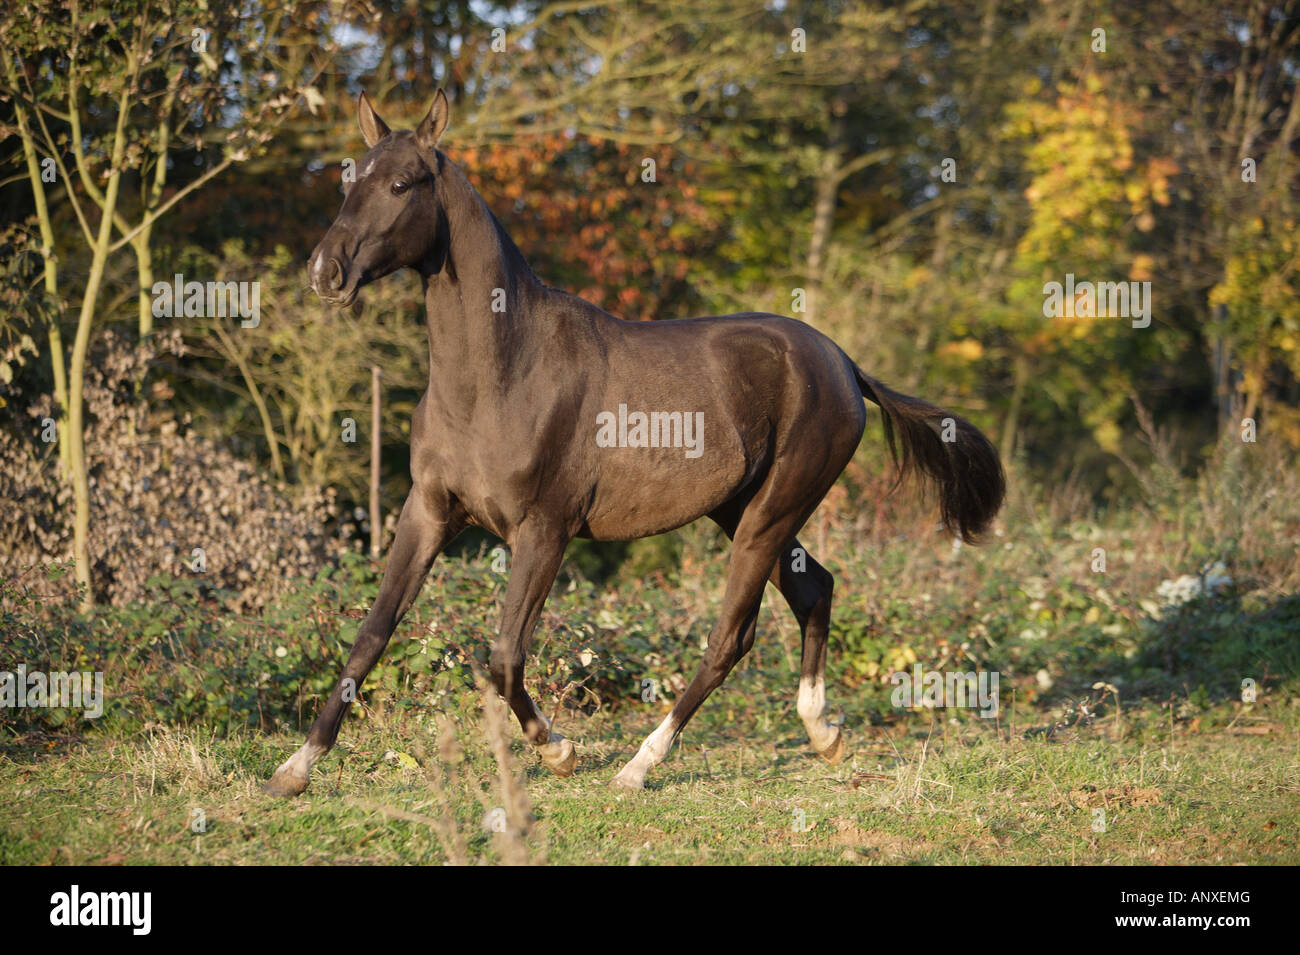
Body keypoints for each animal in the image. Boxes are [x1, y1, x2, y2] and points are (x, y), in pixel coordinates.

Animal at [264, 90, 1005, 796]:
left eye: (401, 183)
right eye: (349, 179)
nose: (325, 272)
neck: (498, 376)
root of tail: (844, 364)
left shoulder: (544, 530)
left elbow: (504, 655)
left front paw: (560, 752)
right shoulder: (429, 512)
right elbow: (372, 633)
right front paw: (296, 769)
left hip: (769, 515)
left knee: (731, 637)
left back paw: (638, 766)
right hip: (742, 510)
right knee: (814, 588)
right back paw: (822, 734)